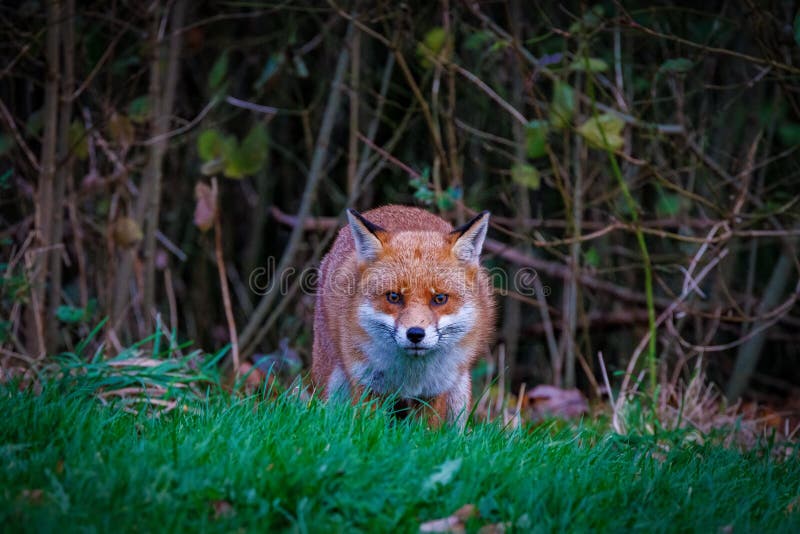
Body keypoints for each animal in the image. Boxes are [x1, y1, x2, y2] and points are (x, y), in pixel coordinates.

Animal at [312, 204, 495, 427]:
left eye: (440, 298)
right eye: (394, 297)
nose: (415, 334)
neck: (410, 375)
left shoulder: (434, 391)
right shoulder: (367, 382)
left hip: (458, 395)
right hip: (333, 384)